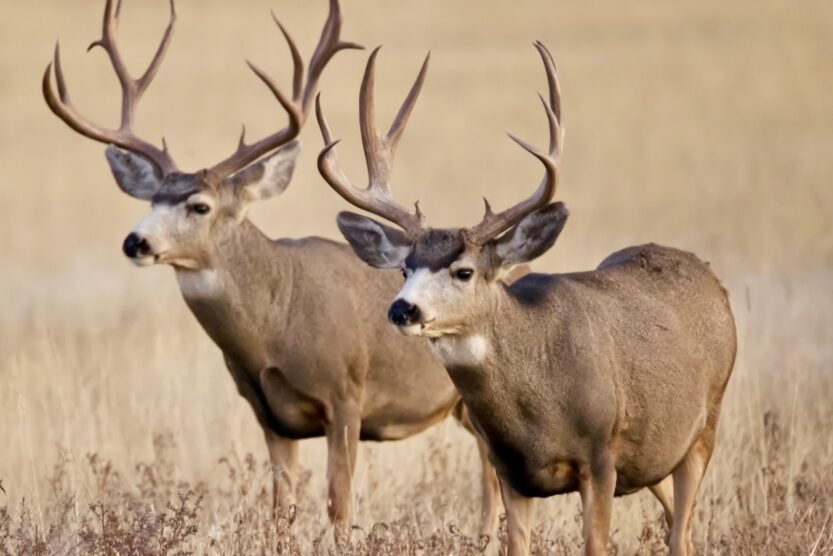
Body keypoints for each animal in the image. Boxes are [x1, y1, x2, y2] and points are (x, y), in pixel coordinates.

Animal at [42, 0, 503, 544]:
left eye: (199, 205)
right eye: (152, 198)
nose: (136, 241)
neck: (276, 322)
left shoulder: (346, 397)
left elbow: (339, 507)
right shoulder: (270, 416)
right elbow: (280, 511)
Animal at [315, 42, 737, 555]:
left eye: (464, 271)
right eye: (404, 268)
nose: (402, 309)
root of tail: (711, 278)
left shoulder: (601, 458)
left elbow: (596, 544)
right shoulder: (510, 470)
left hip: (704, 425)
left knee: (682, 531)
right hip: (655, 454)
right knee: (680, 525)